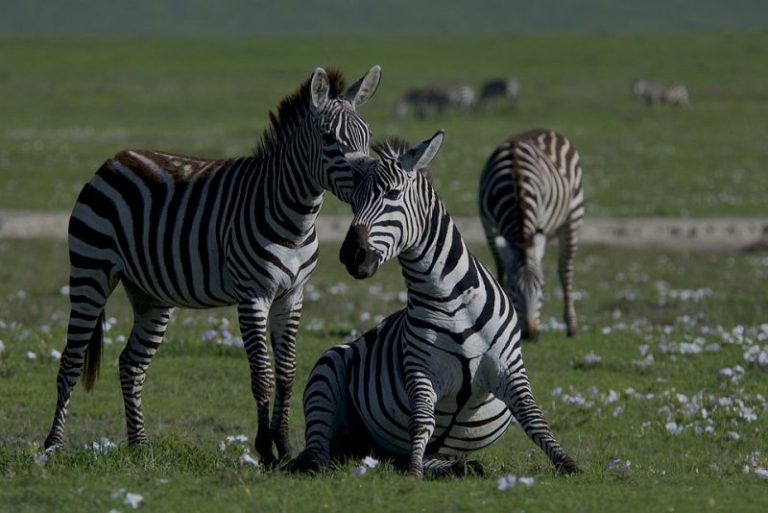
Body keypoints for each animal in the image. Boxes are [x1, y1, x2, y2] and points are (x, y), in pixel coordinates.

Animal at [42, 65, 382, 465]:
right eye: (329, 138)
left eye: (367, 136)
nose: (368, 183)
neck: (295, 219)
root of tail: (115, 159)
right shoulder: (253, 296)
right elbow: (262, 374)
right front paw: (265, 449)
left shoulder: (292, 295)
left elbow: (286, 373)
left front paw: (285, 448)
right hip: (90, 271)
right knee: (71, 360)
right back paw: (52, 445)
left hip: (151, 295)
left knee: (131, 363)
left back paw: (140, 445)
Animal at [479, 129, 584, 340]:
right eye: (512, 288)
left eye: (542, 287)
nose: (530, 334)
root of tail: (545, 130)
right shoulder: (489, 227)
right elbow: (501, 269)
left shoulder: (539, 222)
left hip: (573, 217)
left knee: (565, 270)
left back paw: (571, 326)